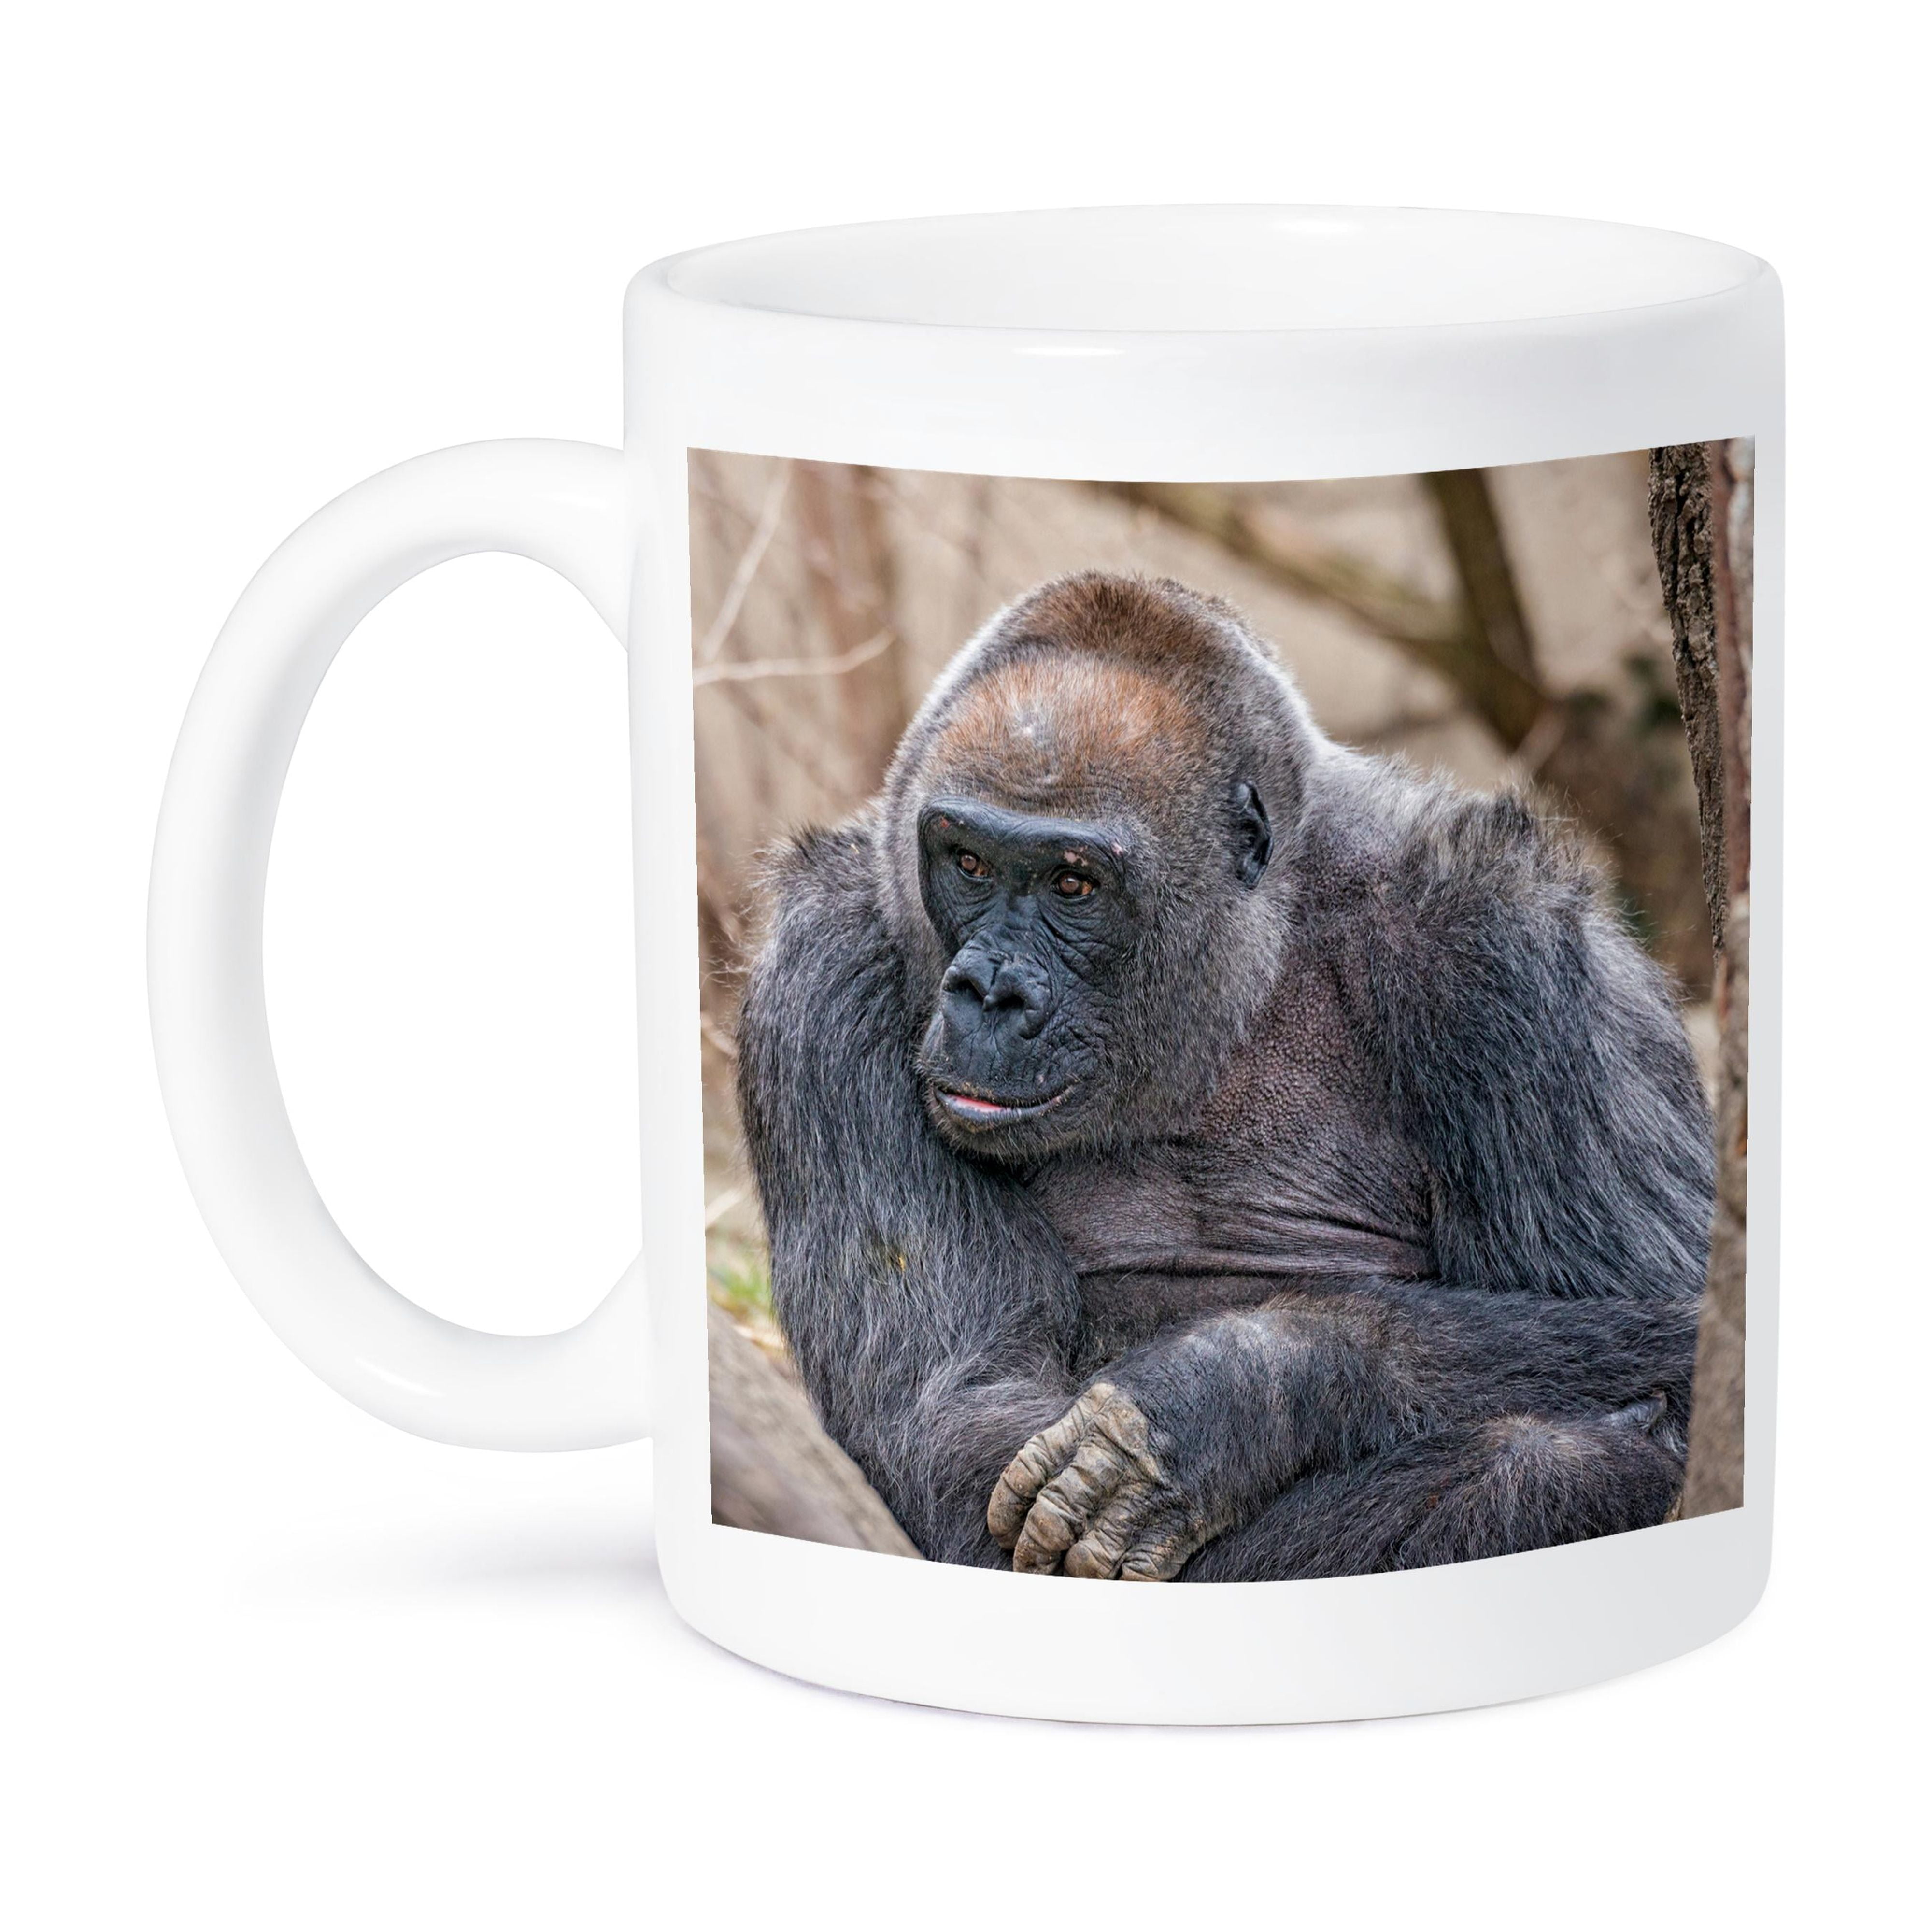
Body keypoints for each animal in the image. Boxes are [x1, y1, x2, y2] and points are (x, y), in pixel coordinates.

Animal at [733, 572, 1713, 1581]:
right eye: (967, 862)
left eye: (1074, 885)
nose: (988, 992)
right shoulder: (824, 964)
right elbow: (966, 1421)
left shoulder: (1505, 938)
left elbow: (1681, 1318)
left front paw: (1242, 1390)